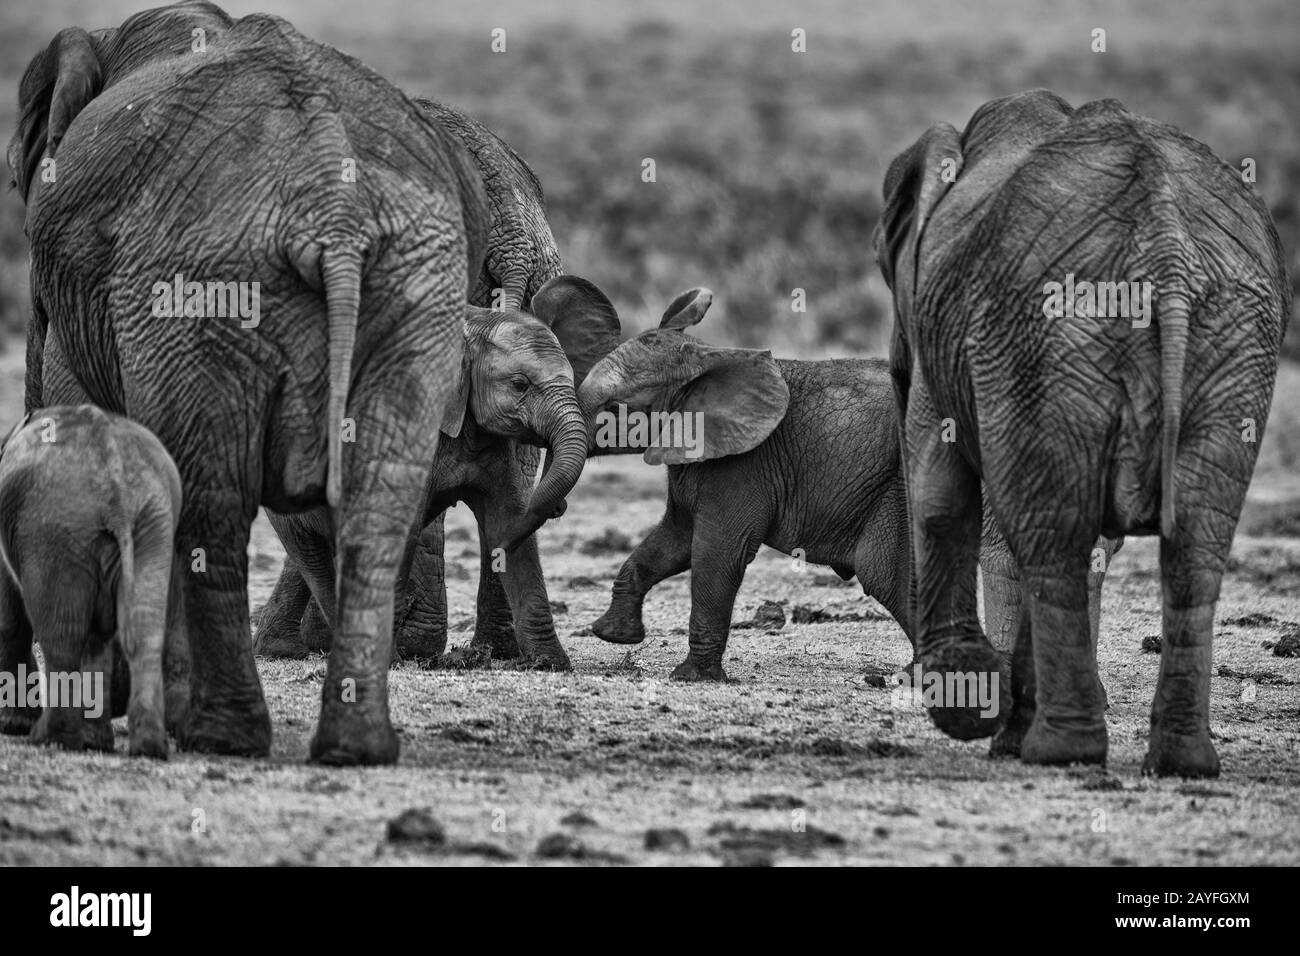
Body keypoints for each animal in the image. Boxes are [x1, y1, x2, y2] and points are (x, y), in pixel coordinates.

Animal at [0, 405, 184, 758]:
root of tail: (116, 486)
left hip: (56, 527)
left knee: (63, 633)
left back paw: (51, 738)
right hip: (154, 521)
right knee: (144, 629)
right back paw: (147, 747)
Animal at [254, 276, 622, 668]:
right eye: (520, 384)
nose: (559, 508)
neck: (474, 327)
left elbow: (509, 523)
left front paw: (550, 664)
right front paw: (390, 662)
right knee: (313, 556)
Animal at [875, 89, 1290, 777]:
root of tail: (1163, 237)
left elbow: (940, 488)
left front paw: (969, 705)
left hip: (1048, 329)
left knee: (1053, 537)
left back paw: (1057, 752)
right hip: (1224, 335)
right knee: (1189, 543)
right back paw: (1176, 762)